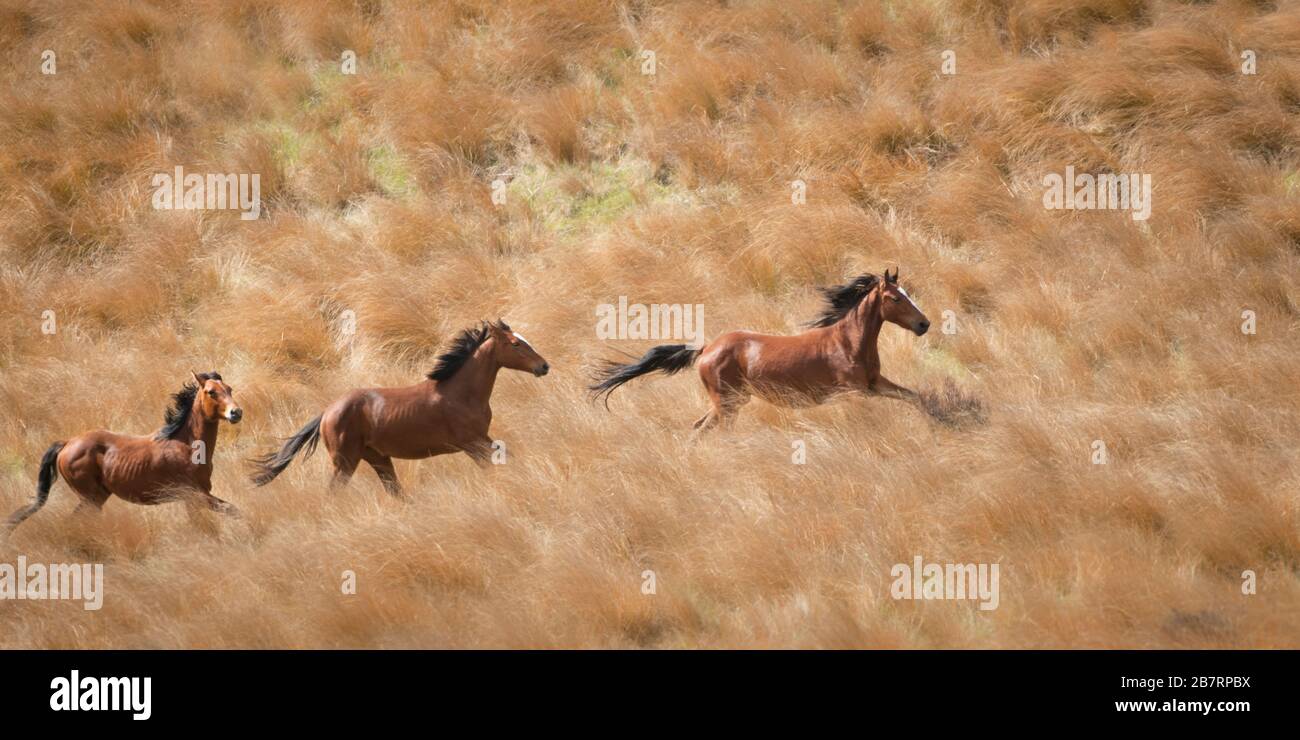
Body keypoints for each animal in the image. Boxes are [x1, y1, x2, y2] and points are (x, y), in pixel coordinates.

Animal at [6, 372, 244, 536]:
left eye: (230, 389)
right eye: (211, 391)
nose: (236, 412)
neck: (187, 446)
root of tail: (67, 443)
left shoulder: (196, 497)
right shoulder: (194, 495)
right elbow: (229, 512)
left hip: (97, 498)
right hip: (90, 498)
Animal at [248, 319, 549, 497]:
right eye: (515, 344)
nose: (544, 366)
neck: (461, 393)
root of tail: (326, 413)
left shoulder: (482, 439)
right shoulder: (472, 443)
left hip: (378, 458)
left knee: (394, 490)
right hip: (345, 462)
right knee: (335, 492)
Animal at [589, 269, 930, 430]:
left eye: (908, 293)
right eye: (896, 298)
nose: (924, 324)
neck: (847, 343)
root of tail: (706, 348)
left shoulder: (874, 385)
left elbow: (915, 397)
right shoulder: (855, 393)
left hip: (730, 402)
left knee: (698, 427)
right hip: (727, 404)